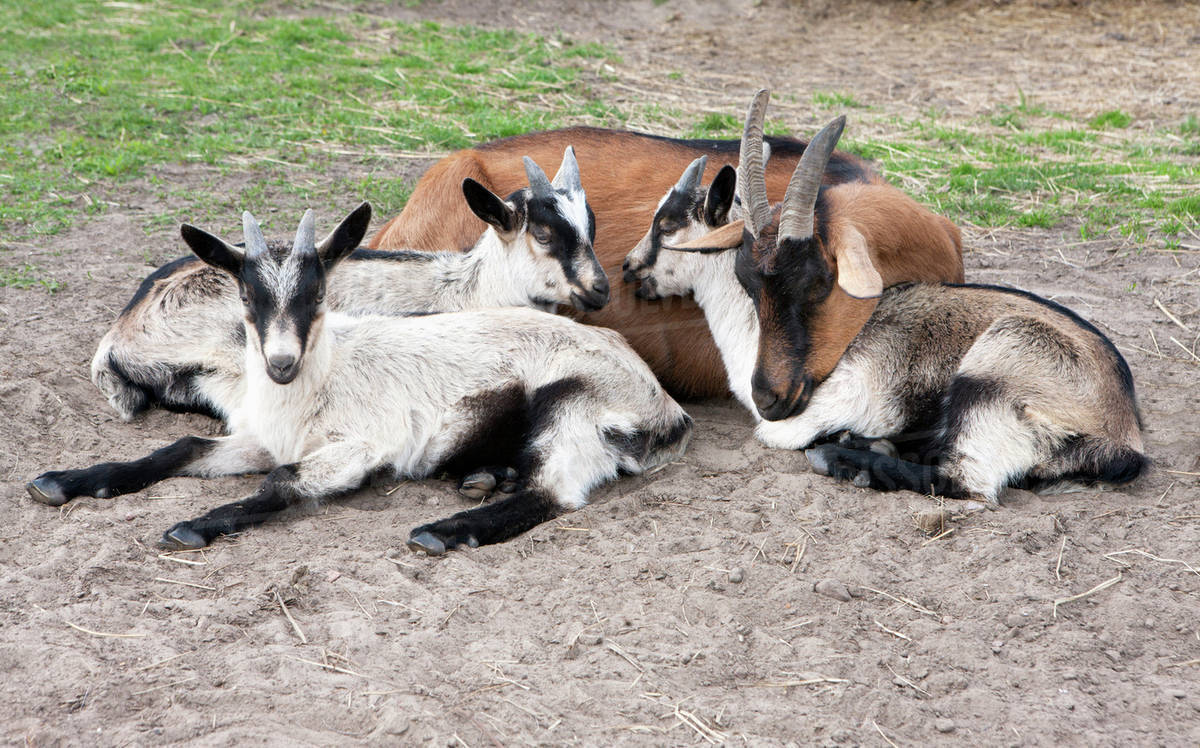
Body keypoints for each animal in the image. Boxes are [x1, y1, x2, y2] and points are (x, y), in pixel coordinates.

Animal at [30, 205, 692, 554]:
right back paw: (482, 478)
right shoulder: (262, 437)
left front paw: (193, 526)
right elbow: (182, 446)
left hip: (574, 404)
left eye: (319, 292)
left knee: (555, 492)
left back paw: (441, 532)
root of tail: (669, 410)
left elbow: (281, 481)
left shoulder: (360, 448)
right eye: (246, 294)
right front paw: (60, 482)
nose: (280, 363)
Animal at [636, 110, 1146, 502]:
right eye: (745, 275)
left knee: (967, 480)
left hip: (997, 367)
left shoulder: (840, 400)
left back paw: (843, 457)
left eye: (666, 224)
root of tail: (1121, 432)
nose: (629, 269)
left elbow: (775, 433)